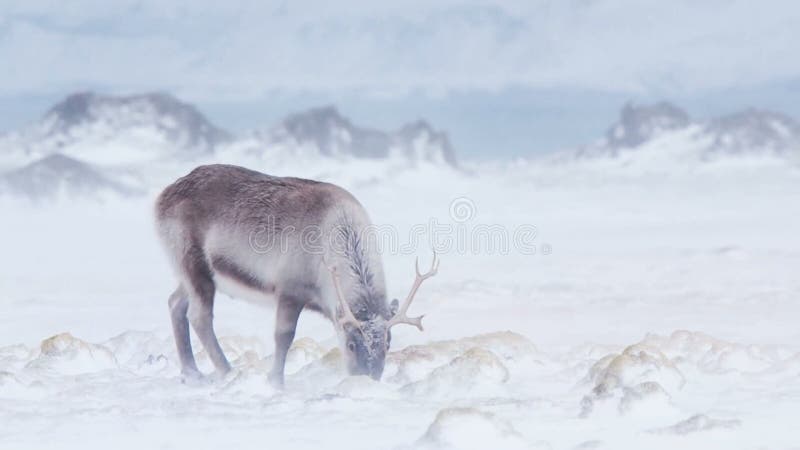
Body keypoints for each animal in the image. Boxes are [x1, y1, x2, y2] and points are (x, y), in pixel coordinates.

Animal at [155, 164, 438, 387]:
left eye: (387, 344)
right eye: (350, 344)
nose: (368, 380)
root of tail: (162, 197)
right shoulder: (290, 291)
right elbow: (284, 337)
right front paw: (276, 383)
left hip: (189, 275)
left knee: (174, 303)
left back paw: (192, 373)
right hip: (195, 267)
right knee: (199, 316)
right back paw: (225, 370)